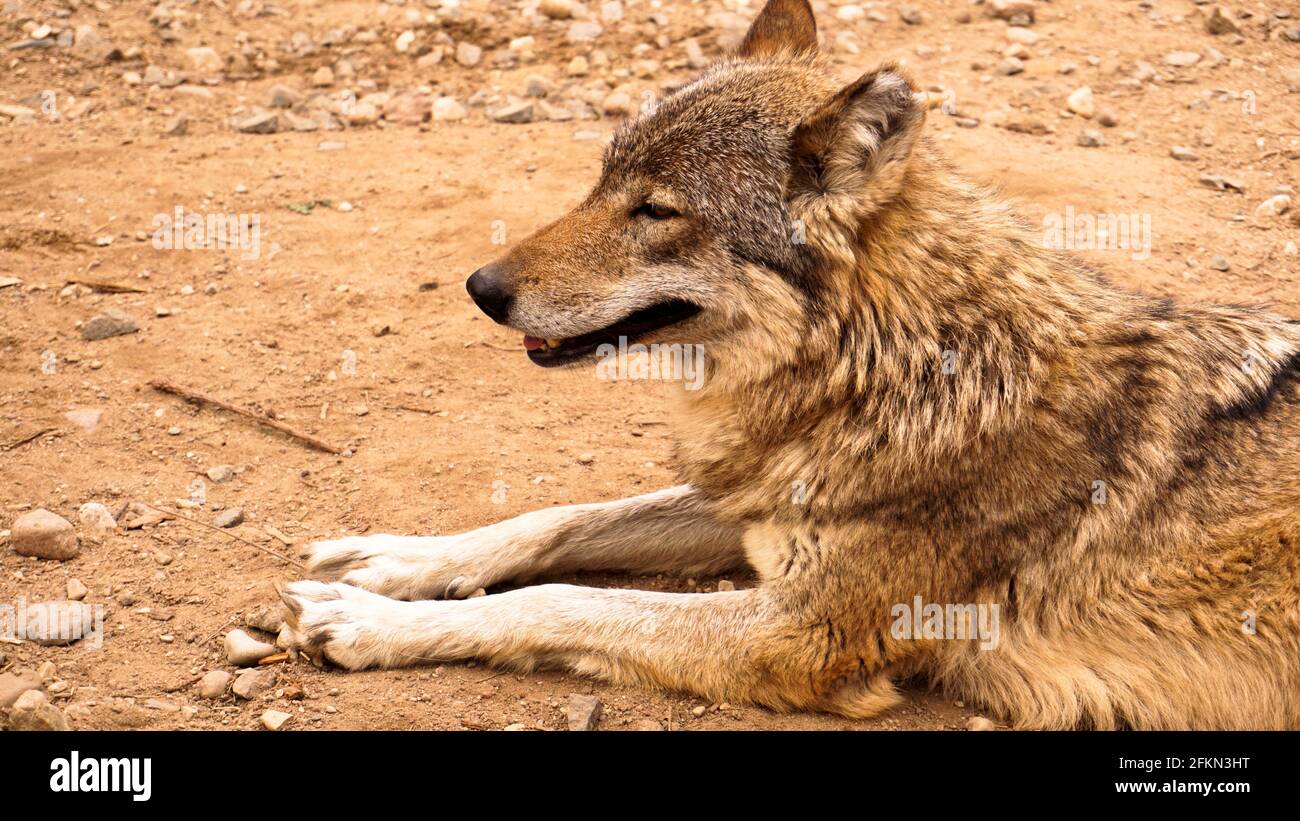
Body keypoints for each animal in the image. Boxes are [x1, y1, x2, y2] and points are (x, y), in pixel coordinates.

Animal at [281, 0, 1300, 729]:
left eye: (657, 211)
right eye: (602, 182)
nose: (481, 287)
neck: (893, 367)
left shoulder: (803, 632)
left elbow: (558, 601)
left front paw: (368, 622)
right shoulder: (756, 505)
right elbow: (557, 520)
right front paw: (394, 562)